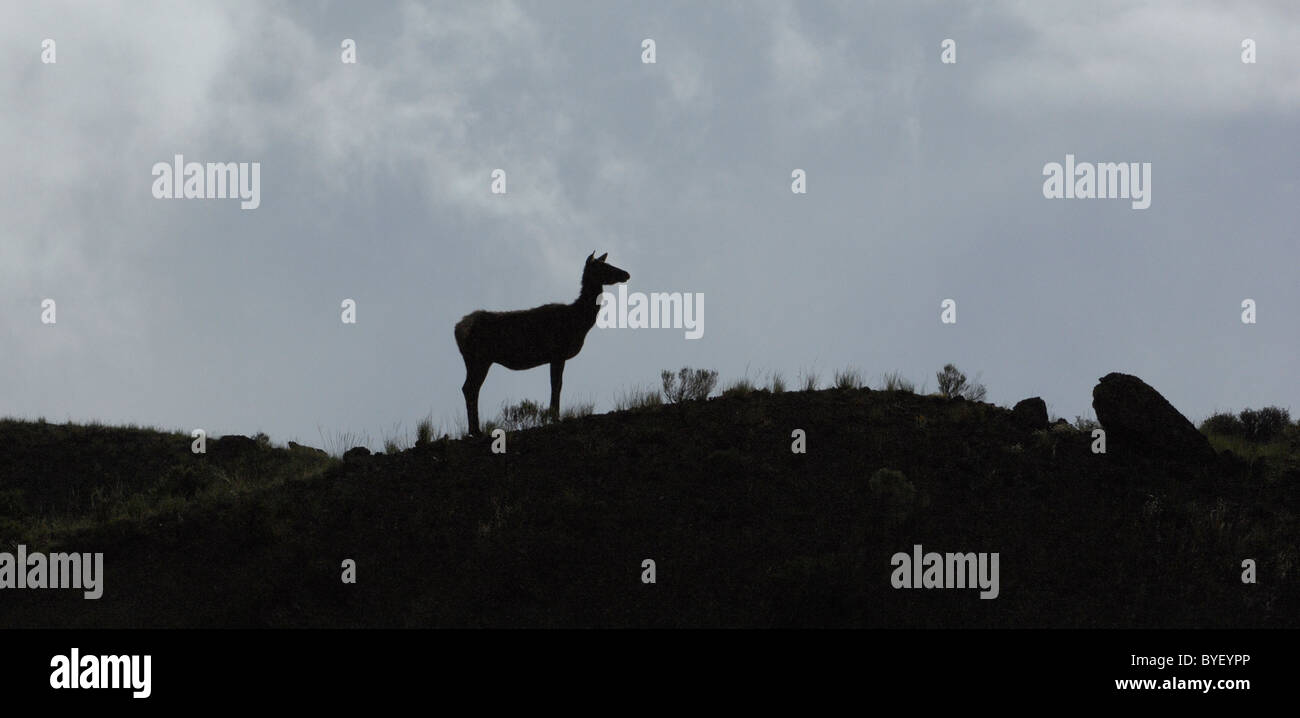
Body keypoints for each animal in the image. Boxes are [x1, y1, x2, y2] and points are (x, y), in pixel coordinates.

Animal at [454, 252, 630, 435]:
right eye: (602, 266)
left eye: (606, 262)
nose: (626, 274)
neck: (579, 323)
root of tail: (458, 329)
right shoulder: (558, 353)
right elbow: (557, 385)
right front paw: (555, 417)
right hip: (480, 358)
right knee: (470, 388)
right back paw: (476, 430)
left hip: (472, 360)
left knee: (468, 388)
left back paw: (474, 429)